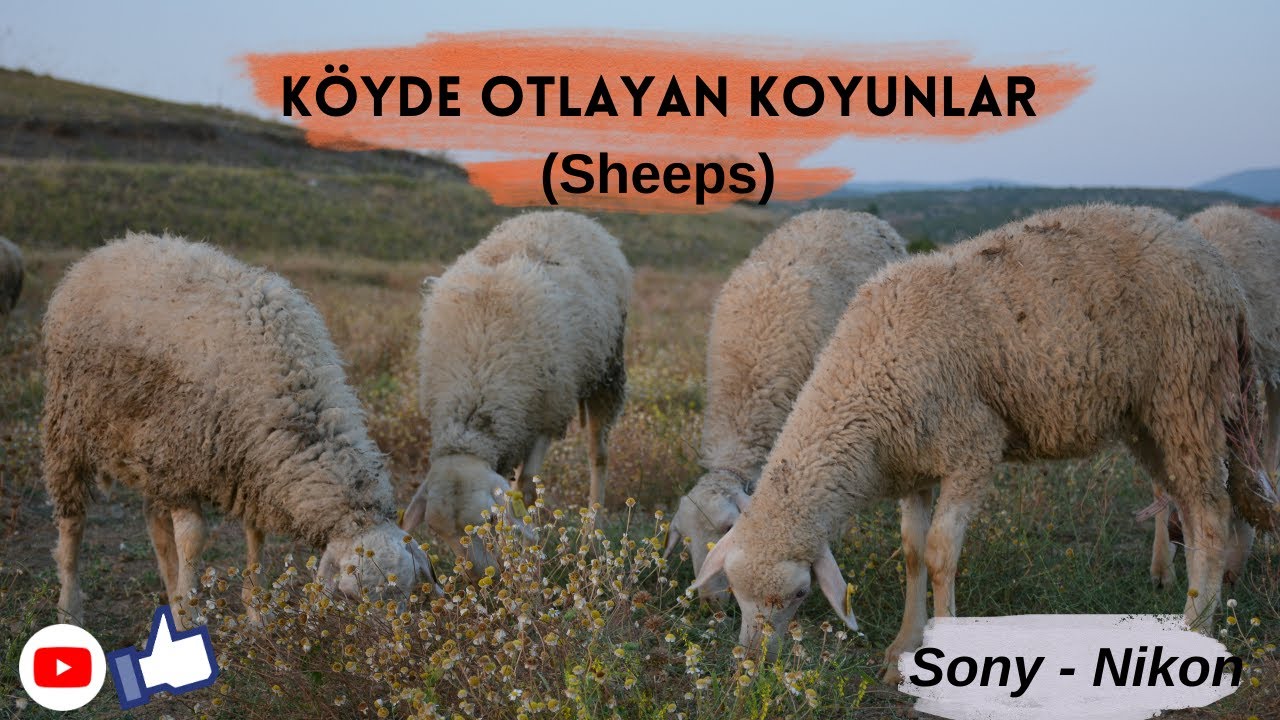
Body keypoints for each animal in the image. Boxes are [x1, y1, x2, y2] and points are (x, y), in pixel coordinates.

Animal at [42, 233, 437, 628]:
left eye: (407, 593)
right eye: (352, 596)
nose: (385, 640)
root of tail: (114, 247)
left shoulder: (251, 462)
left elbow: (255, 535)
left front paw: (256, 612)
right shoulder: (184, 458)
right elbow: (193, 538)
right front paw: (190, 618)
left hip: (150, 445)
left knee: (154, 521)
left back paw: (170, 593)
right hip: (70, 427)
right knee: (72, 522)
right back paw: (70, 608)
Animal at [401, 211, 631, 570]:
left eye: (488, 523)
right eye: (439, 534)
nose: (477, 578)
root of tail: (562, 214)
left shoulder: (547, 415)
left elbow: (525, 491)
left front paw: (528, 560)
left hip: (606, 372)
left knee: (598, 455)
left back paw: (591, 536)